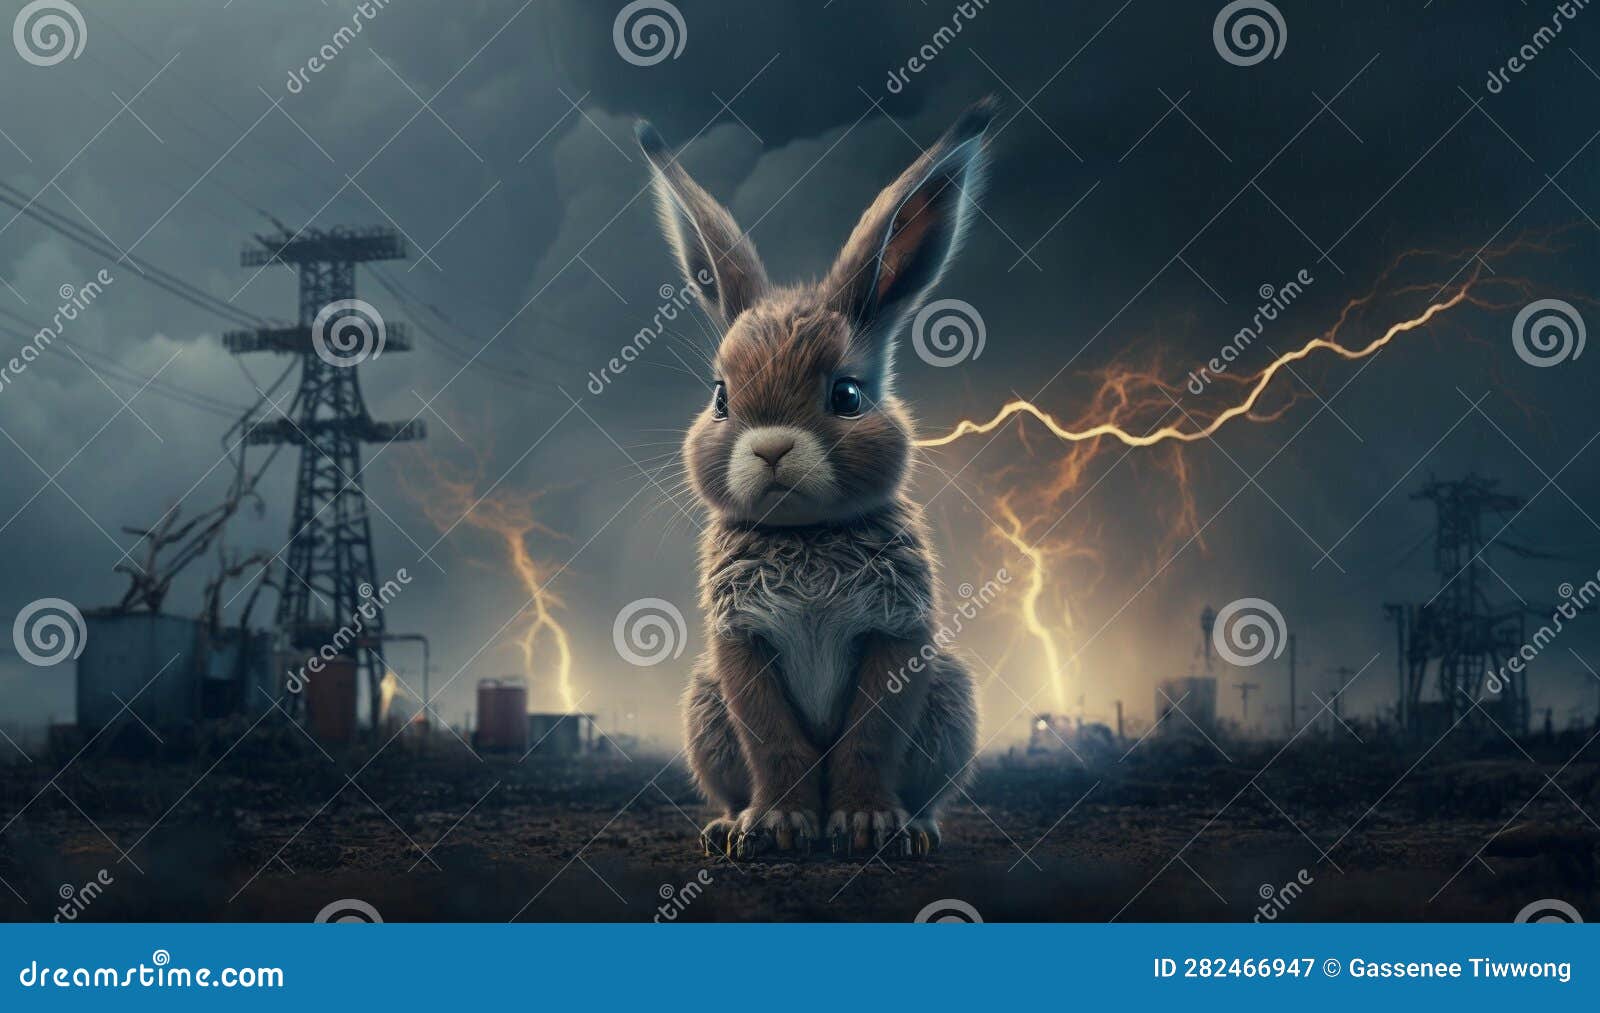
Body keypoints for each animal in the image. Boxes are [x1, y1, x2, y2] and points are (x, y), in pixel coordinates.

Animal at [637, 100, 992, 859]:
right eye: (720, 397)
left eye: (848, 396)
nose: (770, 448)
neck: (806, 534)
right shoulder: (742, 645)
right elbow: (774, 741)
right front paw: (780, 825)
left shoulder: (896, 635)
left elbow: (869, 738)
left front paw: (866, 825)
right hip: (704, 703)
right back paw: (727, 825)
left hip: (951, 695)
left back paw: (919, 827)